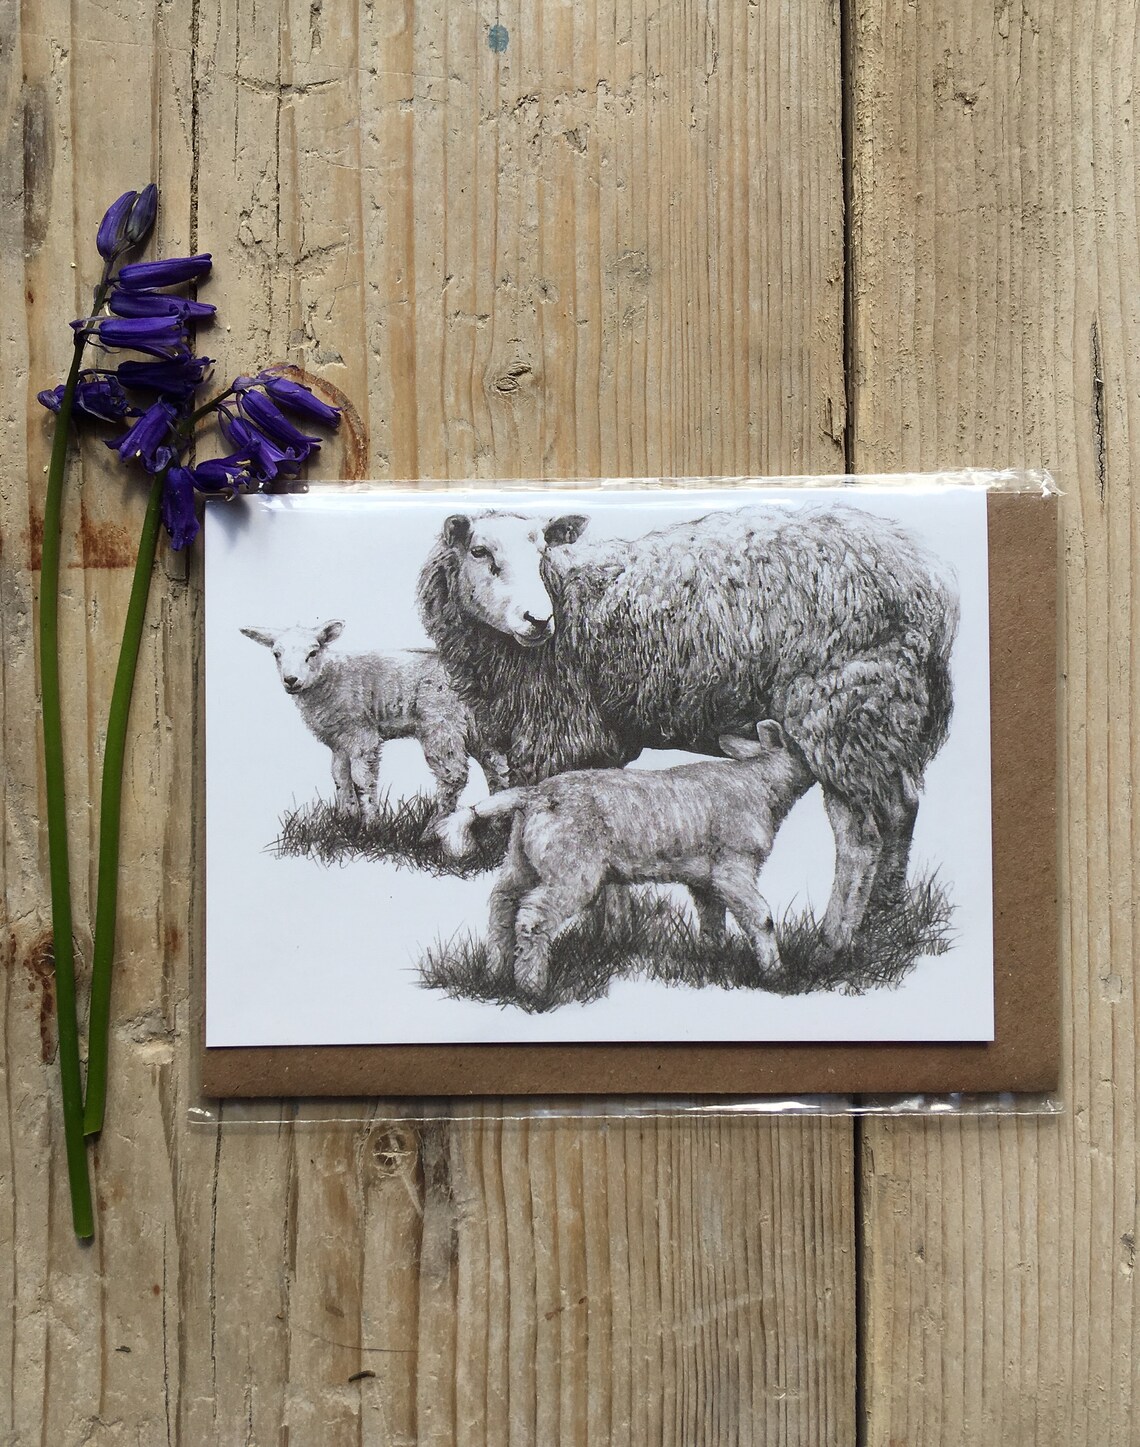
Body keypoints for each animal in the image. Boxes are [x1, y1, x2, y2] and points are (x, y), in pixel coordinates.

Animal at [240, 620, 508, 818]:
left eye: (313, 652)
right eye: (276, 654)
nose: (291, 680)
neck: (331, 677)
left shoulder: (362, 735)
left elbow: (362, 780)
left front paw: (371, 825)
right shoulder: (339, 741)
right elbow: (340, 777)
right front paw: (346, 819)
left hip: (441, 723)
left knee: (454, 774)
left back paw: (434, 829)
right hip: (478, 726)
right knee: (497, 767)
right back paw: (498, 819)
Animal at [417, 503, 959, 956]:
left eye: (541, 550)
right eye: (479, 552)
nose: (537, 619)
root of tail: (932, 586)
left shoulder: (567, 733)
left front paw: (608, 934)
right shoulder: (597, 743)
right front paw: (617, 934)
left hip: (840, 706)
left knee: (860, 836)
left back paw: (833, 943)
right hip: (885, 716)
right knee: (902, 807)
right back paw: (887, 917)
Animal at [438, 720, 816, 996]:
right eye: (803, 748)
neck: (760, 782)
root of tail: (533, 796)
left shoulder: (704, 878)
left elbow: (712, 924)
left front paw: (713, 963)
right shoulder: (733, 867)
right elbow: (762, 918)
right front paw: (777, 976)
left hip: (523, 859)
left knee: (502, 903)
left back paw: (496, 974)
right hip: (571, 870)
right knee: (532, 917)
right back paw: (532, 988)